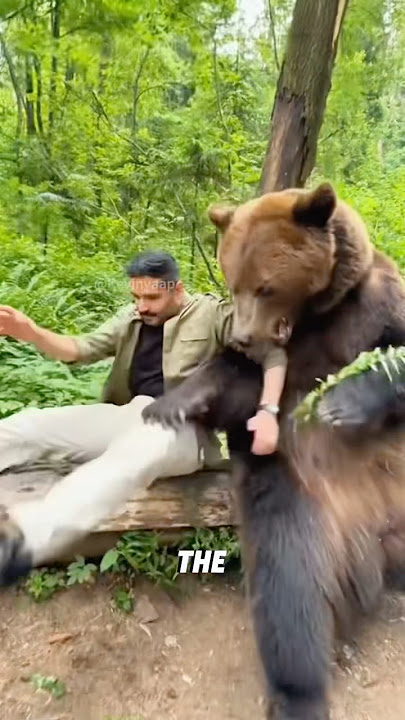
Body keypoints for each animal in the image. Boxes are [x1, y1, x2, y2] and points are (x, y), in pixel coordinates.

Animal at [142, 182, 405, 720]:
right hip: (298, 500)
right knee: (290, 595)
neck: (315, 317)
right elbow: (229, 377)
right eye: (233, 281)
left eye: (265, 286)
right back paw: (297, 695)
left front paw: (340, 404)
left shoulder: (373, 307)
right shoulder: (277, 367)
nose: (244, 333)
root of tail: (379, 538)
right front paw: (170, 405)